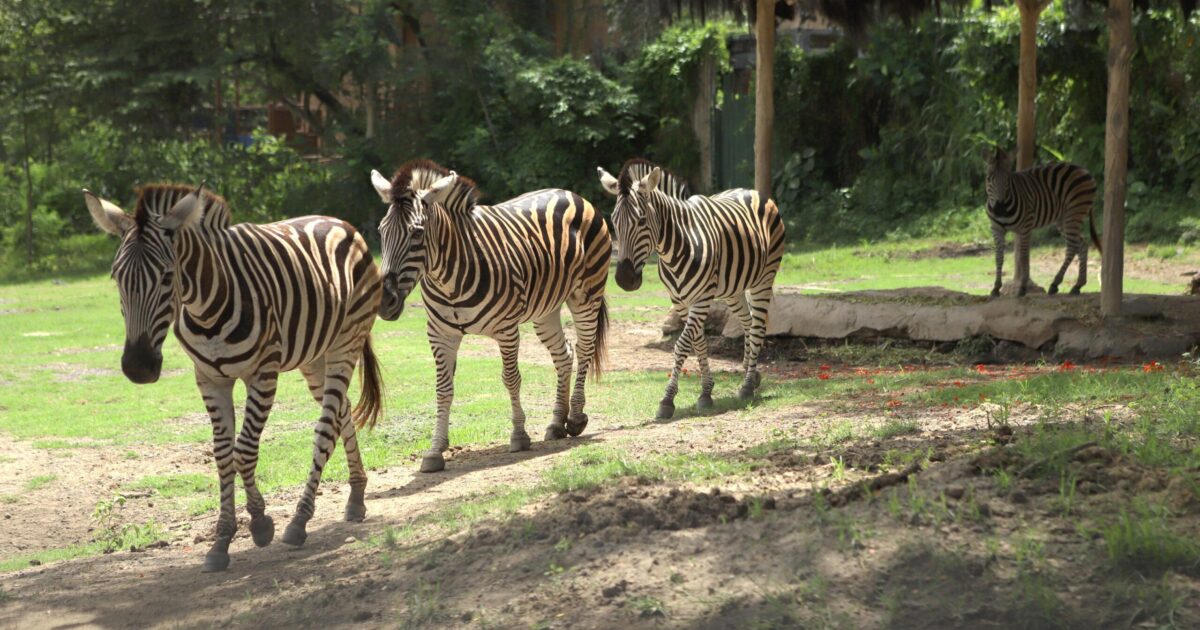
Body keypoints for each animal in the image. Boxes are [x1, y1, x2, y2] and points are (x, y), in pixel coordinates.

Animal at [83, 183, 383, 572]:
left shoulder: (263, 374)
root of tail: (340, 222)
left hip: (347, 341)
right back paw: (356, 496)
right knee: (341, 413)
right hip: (315, 358)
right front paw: (222, 541)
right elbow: (224, 455)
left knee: (325, 425)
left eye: (167, 276)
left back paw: (300, 520)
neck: (204, 308)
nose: (138, 367)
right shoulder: (210, 379)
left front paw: (260, 523)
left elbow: (245, 452)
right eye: (116, 278)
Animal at [369, 160, 610, 473]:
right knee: (564, 354)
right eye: (381, 232)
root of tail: (571, 193)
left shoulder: (506, 329)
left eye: (417, 233)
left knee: (584, 348)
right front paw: (435, 451)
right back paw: (557, 423)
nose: (385, 302)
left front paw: (519, 435)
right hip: (546, 309)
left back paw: (576, 418)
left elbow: (511, 379)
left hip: (587, 293)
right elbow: (443, 389)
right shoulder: (440, 334)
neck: (448, 280)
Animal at [597, 158, 785, 420]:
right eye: (614, 222)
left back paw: (747, 386)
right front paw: (706, 392)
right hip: (733, 289)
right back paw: (753, 373)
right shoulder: (679, 300)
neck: (676, 246)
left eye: (642, 221)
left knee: (757, 326)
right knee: (748, 323)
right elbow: (698, 343)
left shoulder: (702, 298)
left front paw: (667, 400)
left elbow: (682, 345)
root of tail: (753, 191)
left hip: (764, 278)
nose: (625, 279)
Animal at [983, 147, 1101, 297]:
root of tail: (1085, 170)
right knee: (1081, 243)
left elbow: (1023, 257)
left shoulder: (1025, 227)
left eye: (1008, 180)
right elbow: (998, 256)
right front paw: (996, 288)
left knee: (1072, 246)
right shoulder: (996, 229)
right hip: (1063, 219)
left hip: (1073, 213)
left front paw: (1022, 288)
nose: (999, 209)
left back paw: (1055, 284)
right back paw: (1077, 285)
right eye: (988, 178)